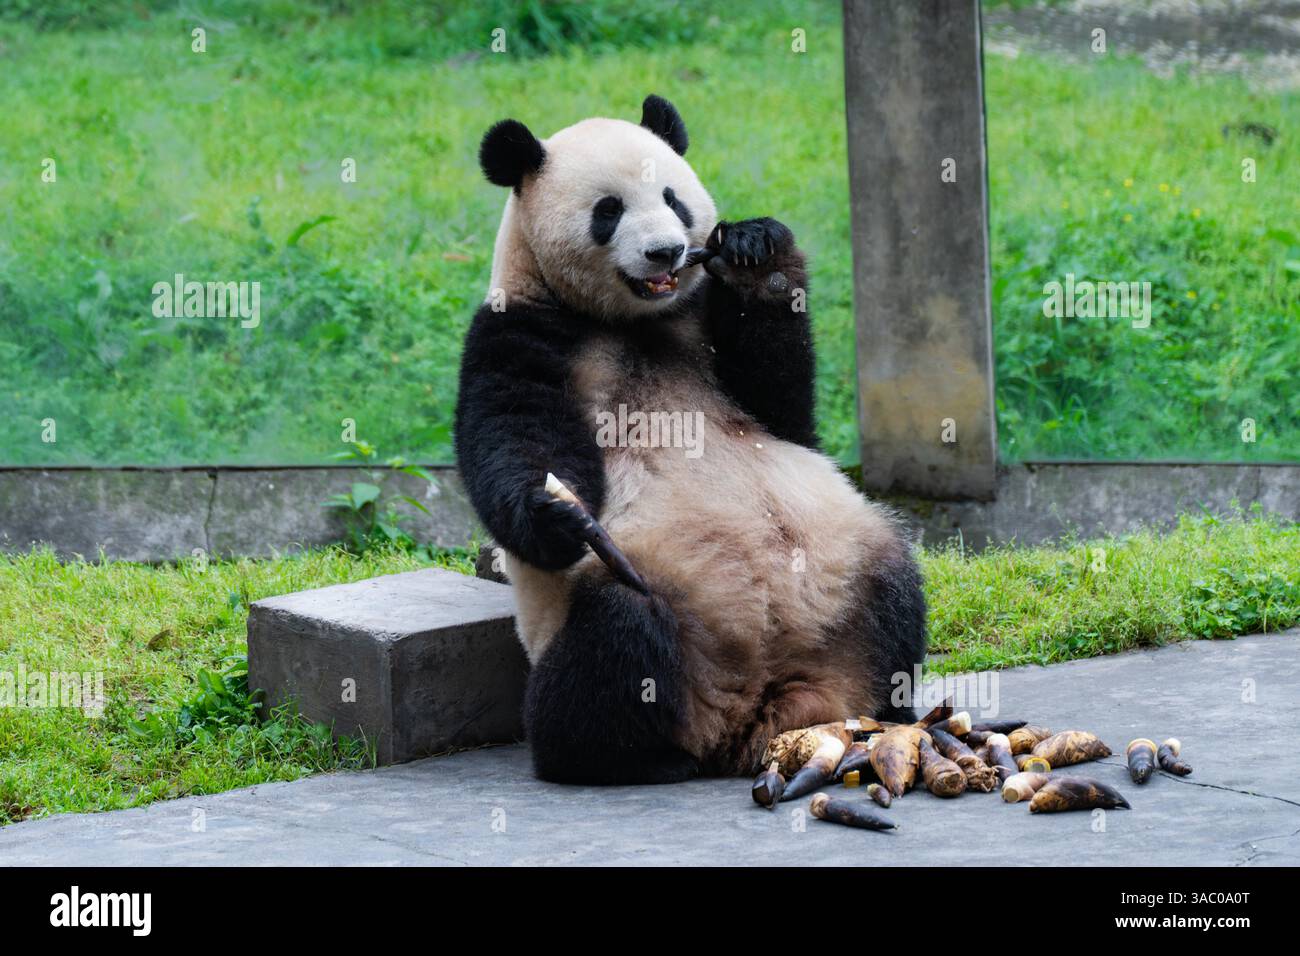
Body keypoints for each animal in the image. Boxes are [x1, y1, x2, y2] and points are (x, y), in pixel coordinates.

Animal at [455, 94, 926, 785]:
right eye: (608, 211)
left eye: (673, 198)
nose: (666, 252)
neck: (638, 321)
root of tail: (753, 709)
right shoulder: (520, 328)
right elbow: (516, 437)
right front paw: (556, 515)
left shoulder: (703, 316)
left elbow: (785, 410)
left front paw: (756, 249)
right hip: (642, 598)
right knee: (617, 638)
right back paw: (626, 757)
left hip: (846, 566)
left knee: (894, 585)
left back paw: (892, 708)